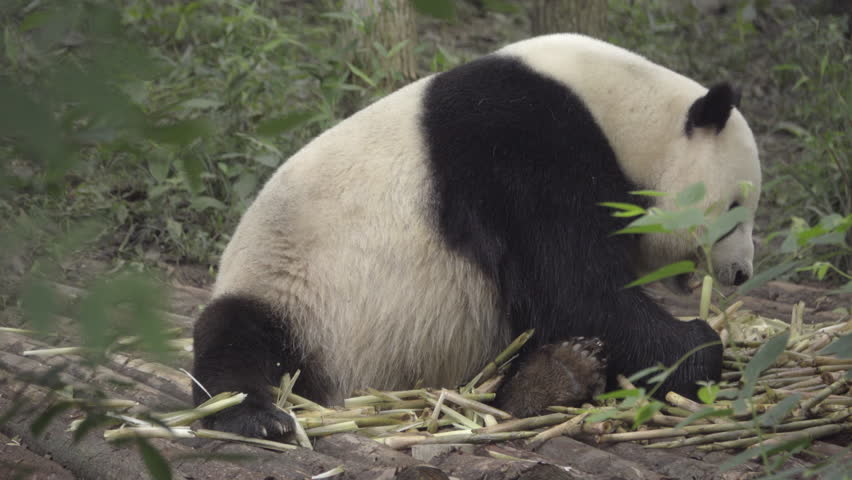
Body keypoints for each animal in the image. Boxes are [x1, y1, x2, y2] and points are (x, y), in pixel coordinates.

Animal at [192, 34, 761, 438]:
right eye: (735, 210)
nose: (741, 273)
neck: (621, 111)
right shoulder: (526, 147)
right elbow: (575, 289)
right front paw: (697, 346)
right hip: (292, 283)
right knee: (234, 343)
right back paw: (256, 416)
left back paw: (553, 378)